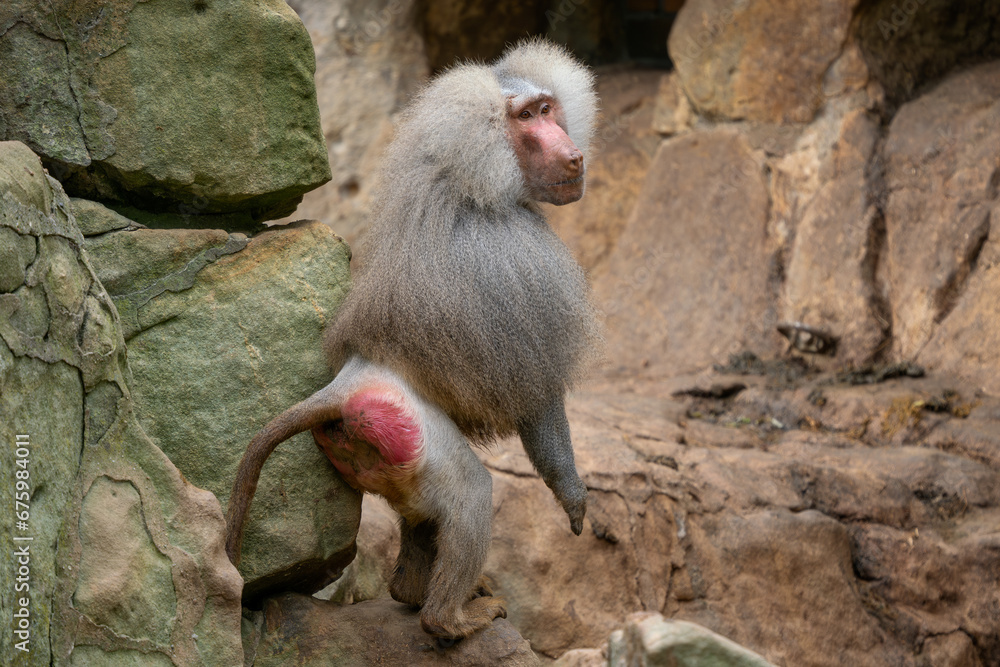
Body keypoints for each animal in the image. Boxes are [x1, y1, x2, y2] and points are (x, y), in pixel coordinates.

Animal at [225, 38, 600, 640]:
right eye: (525, 118)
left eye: (548, 108)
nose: (573, 157)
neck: (468, 177)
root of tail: (349, 382)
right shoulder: (524, 261)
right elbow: (537, 399)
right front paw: (573, 497)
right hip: (410, 429)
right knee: (470, 493)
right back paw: (452, 619)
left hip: (370, 449)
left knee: (421, 517)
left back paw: (413, 593)